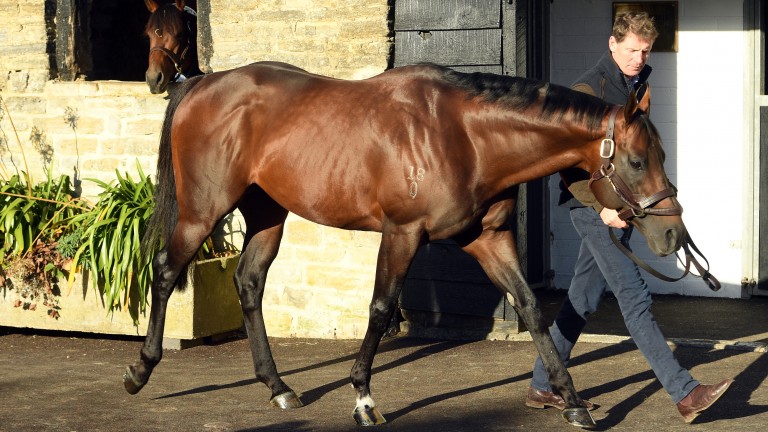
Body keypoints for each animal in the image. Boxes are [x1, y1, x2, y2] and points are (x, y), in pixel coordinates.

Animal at [122, 61, 684, 429]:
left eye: (660, 155)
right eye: (636, 161)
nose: (672, 235)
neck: (464, 136)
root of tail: (201, 82)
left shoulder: (489, 240)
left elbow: (530, 306)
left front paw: (573, 401)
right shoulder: (402, 232)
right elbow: (380, 307)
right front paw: (364, 399)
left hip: (267, 214)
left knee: (249, 282)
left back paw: (278, 388)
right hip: (202, 210)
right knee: (166, 270)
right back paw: (140, 370)